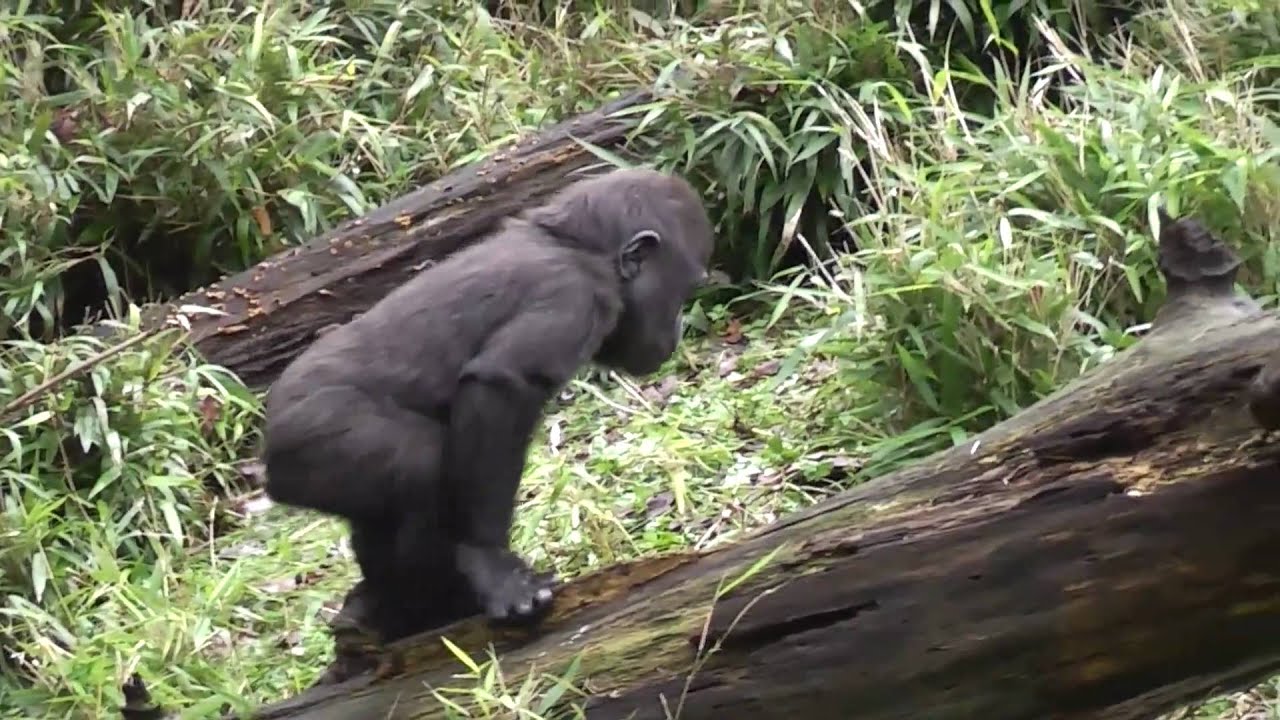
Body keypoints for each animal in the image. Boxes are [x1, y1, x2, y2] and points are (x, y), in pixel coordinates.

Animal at [261, 167, 714, 645]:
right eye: (682, 291)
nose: (677, 331)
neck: (577, 246)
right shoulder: (573, 296)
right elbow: (501, 386)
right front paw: (491, 564)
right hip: (310, 436)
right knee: (420, 464)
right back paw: (431, 610)